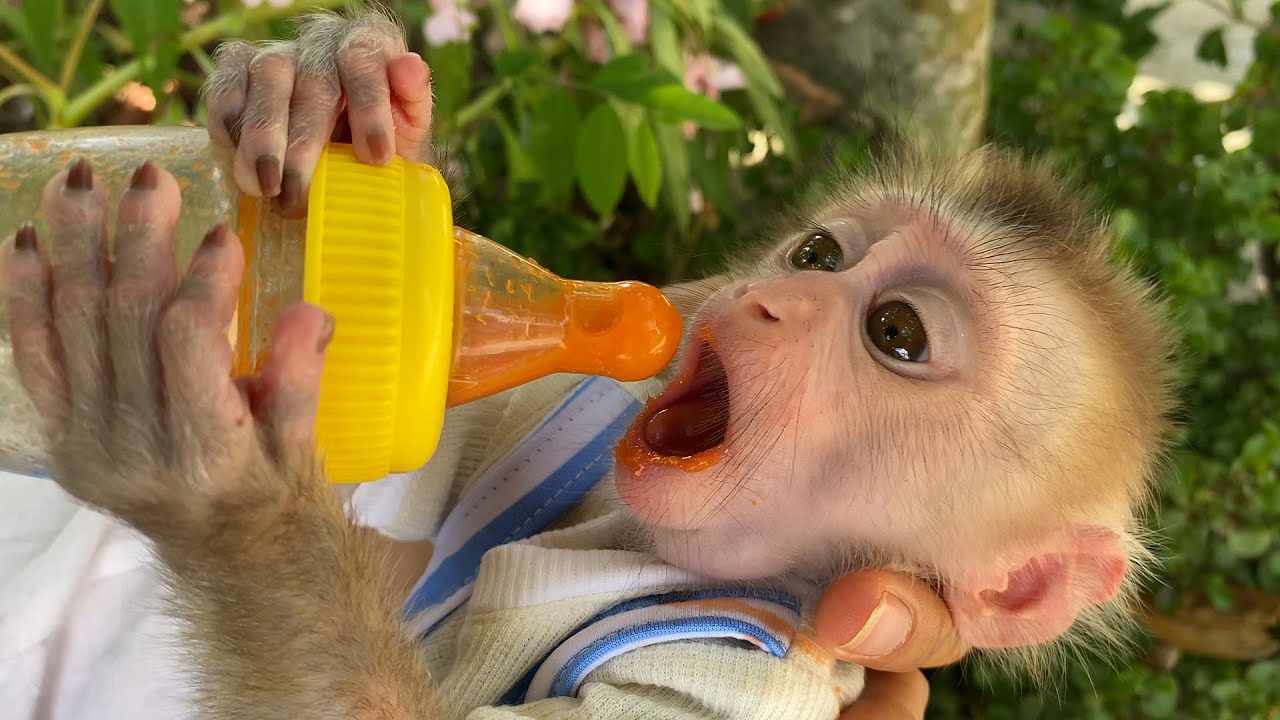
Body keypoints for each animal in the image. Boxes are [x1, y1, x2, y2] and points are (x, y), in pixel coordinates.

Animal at [0, 6, 1179, 719]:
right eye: (817, 256)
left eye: (896, 333)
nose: (765, 299)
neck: (627, 540)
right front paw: (333, 87)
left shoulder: (727, 679)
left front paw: (219, 481)